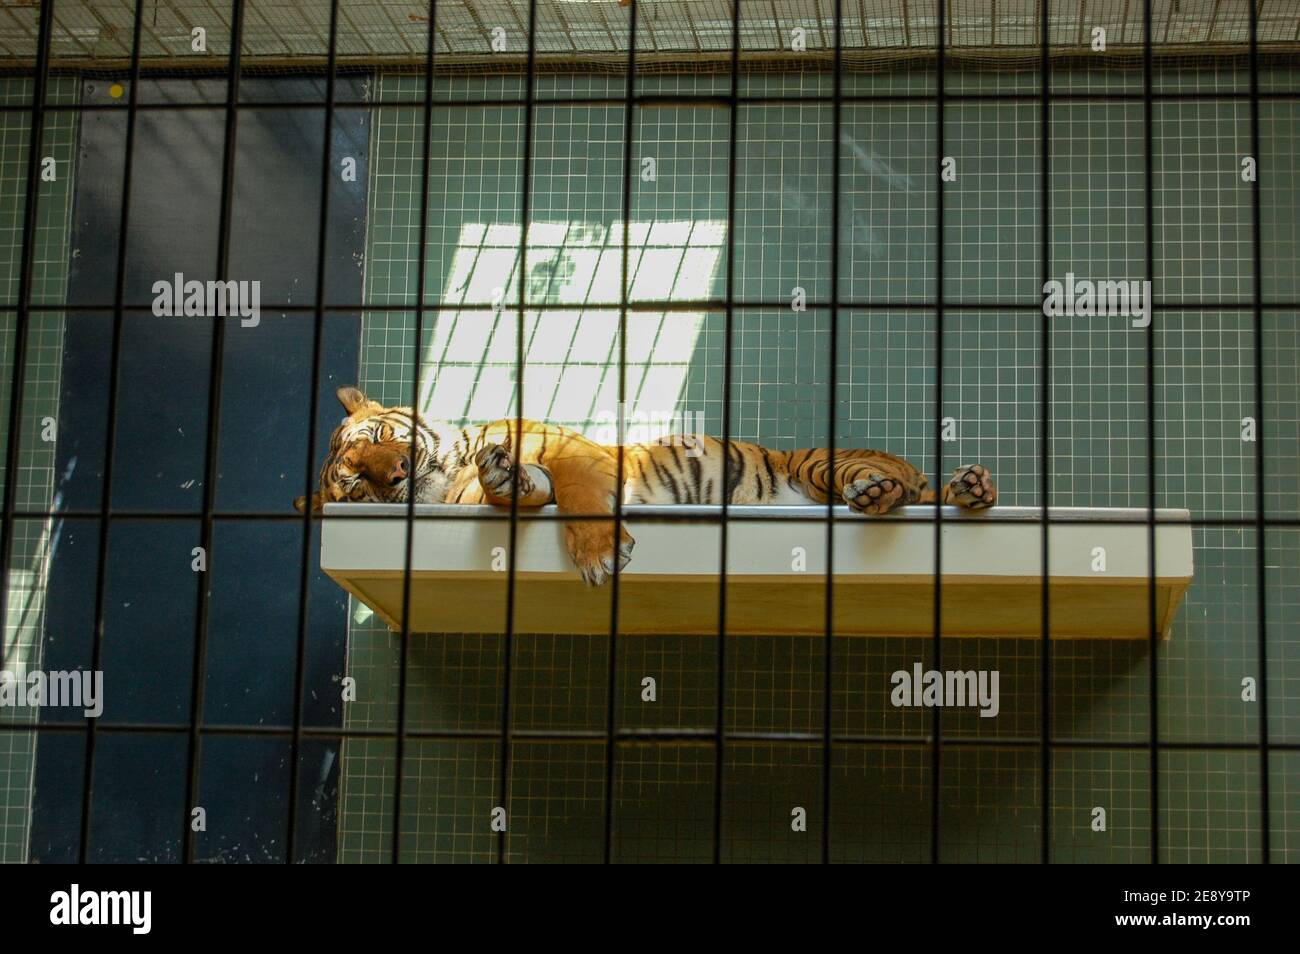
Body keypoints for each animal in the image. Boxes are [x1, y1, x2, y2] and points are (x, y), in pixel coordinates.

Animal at [296, 386, 997, 586]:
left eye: (381, 440)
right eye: (356, 482)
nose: (394, 475)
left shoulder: (572, 453)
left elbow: (580, 504)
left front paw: (601, 558)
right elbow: (520, 489)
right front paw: (504, 479)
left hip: (820, 464)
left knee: (897, 484)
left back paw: (907, 487)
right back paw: (970, 487)